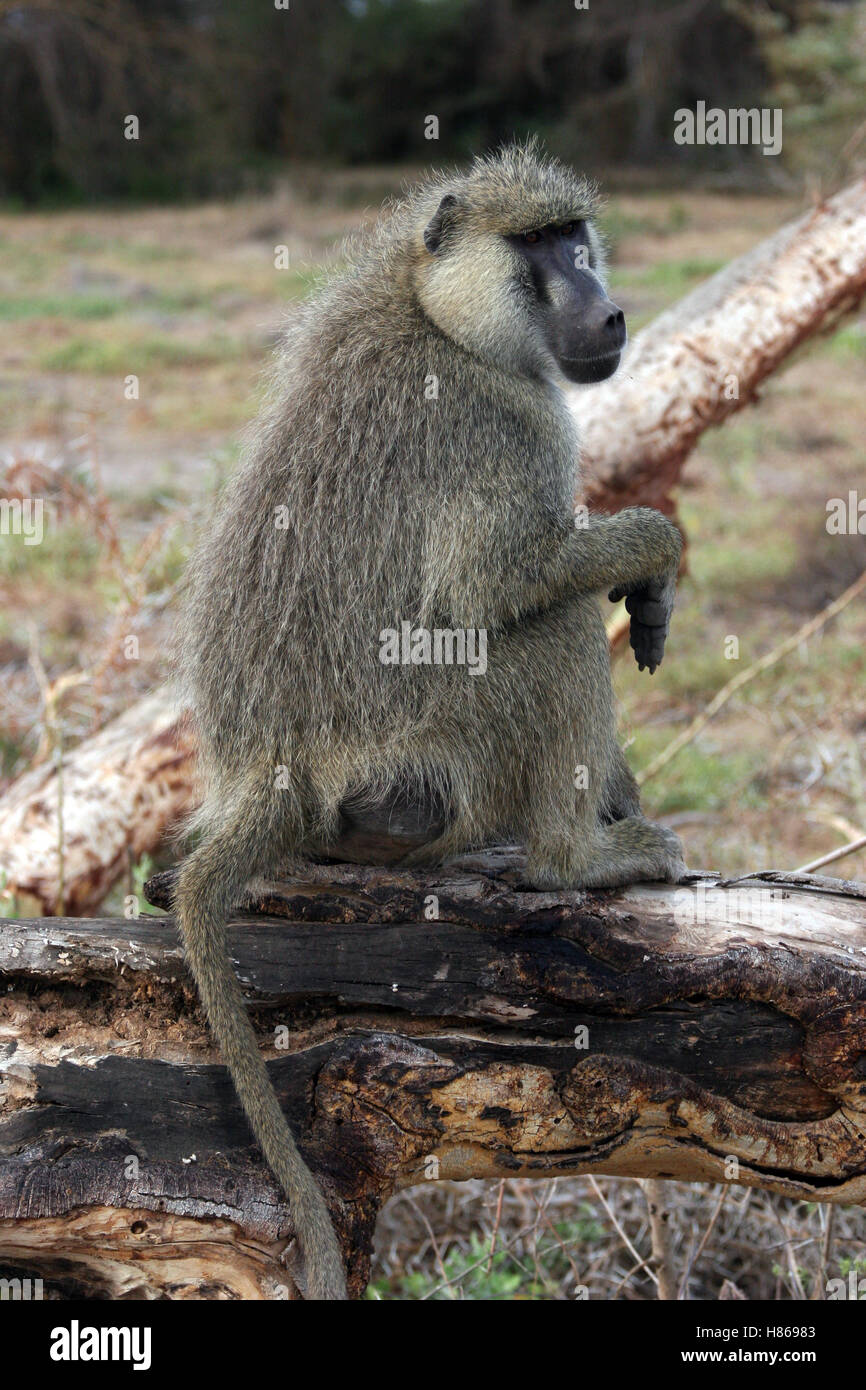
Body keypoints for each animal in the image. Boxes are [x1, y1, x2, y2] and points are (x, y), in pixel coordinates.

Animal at [173, 142, 686, 1302]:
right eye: (540, 247)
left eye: (577, 237)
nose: (609, 310)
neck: (432, 310)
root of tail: (269, 769)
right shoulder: (501, 421)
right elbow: (506, 583)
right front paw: (652, 549)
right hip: (429, 760)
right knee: (549, 628)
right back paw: (571, 860)